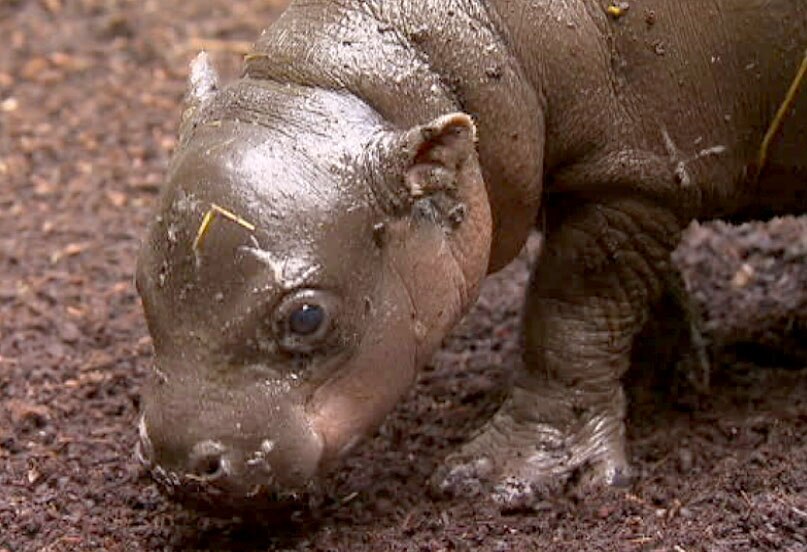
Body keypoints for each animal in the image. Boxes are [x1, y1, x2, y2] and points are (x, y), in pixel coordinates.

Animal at [135, 0, 807, 510]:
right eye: (141, 285)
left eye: (306, 317)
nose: (174, 464)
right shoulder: (634, 181)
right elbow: (637, 295)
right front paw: (668, 378)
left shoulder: (627, 177)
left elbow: (570, 319)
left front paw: (496, 481)